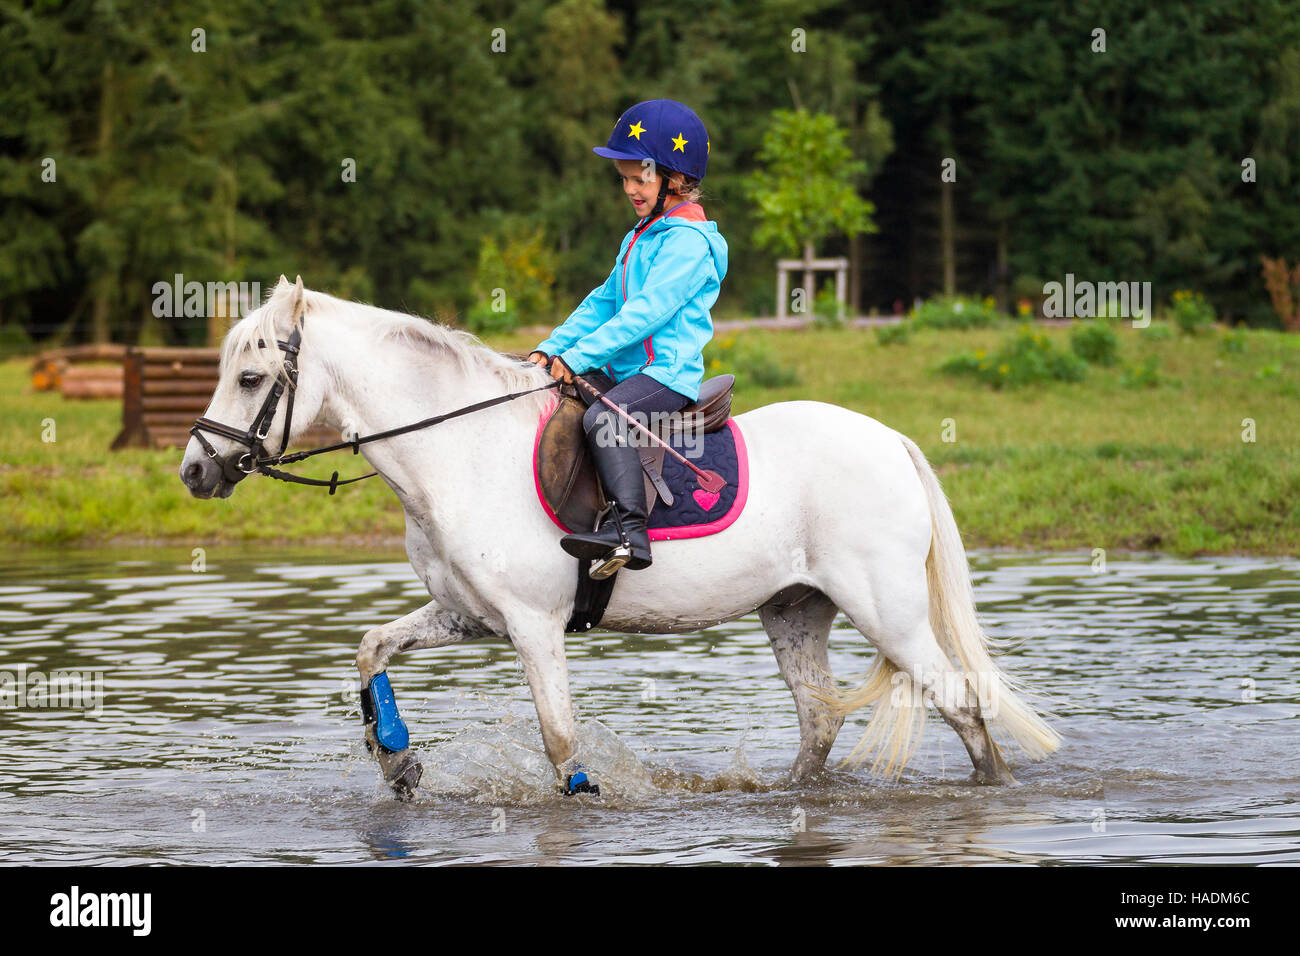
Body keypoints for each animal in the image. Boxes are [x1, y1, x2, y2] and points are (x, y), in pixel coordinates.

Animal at [180, 276, 1061, 797]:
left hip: (890, 612)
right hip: (796, 608)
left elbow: (560, 739)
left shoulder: (533, 627)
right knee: (821, 719)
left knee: (963, 704)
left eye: (251, 378)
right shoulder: (470, 616)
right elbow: (371, 648)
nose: (194, 469)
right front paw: (398, 760)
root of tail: (891, 440)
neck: (459, 449)